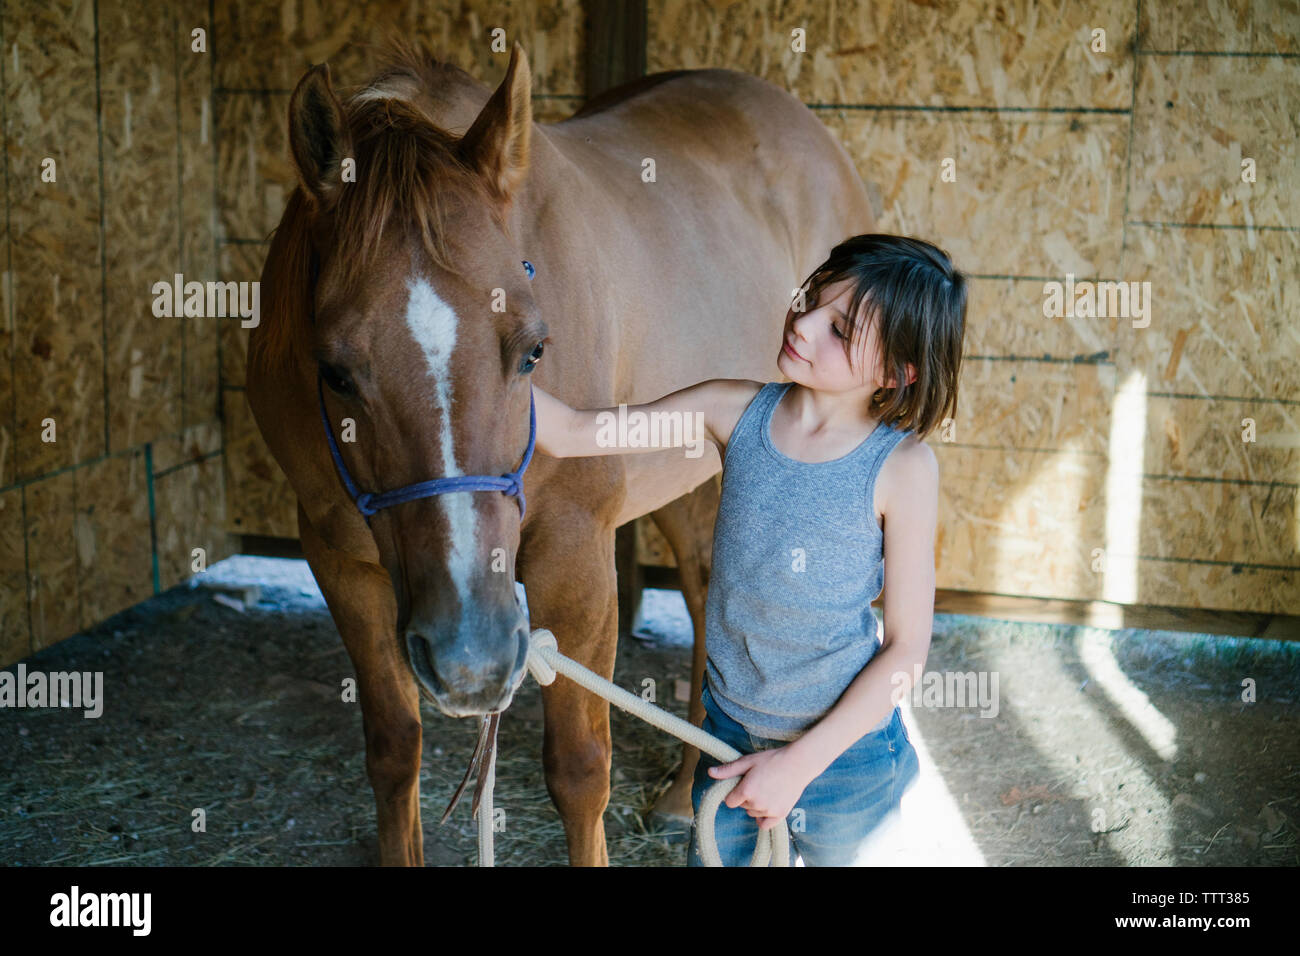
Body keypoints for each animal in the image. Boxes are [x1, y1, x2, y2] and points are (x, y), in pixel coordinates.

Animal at [246, 37, 874, 865]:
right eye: (335, 371)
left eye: (534, 350)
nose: (473, 658)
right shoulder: (339, 561)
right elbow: (393, 749)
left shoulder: (576, 554)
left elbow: (578, 771)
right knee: (704, 589)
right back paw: (686, 792)